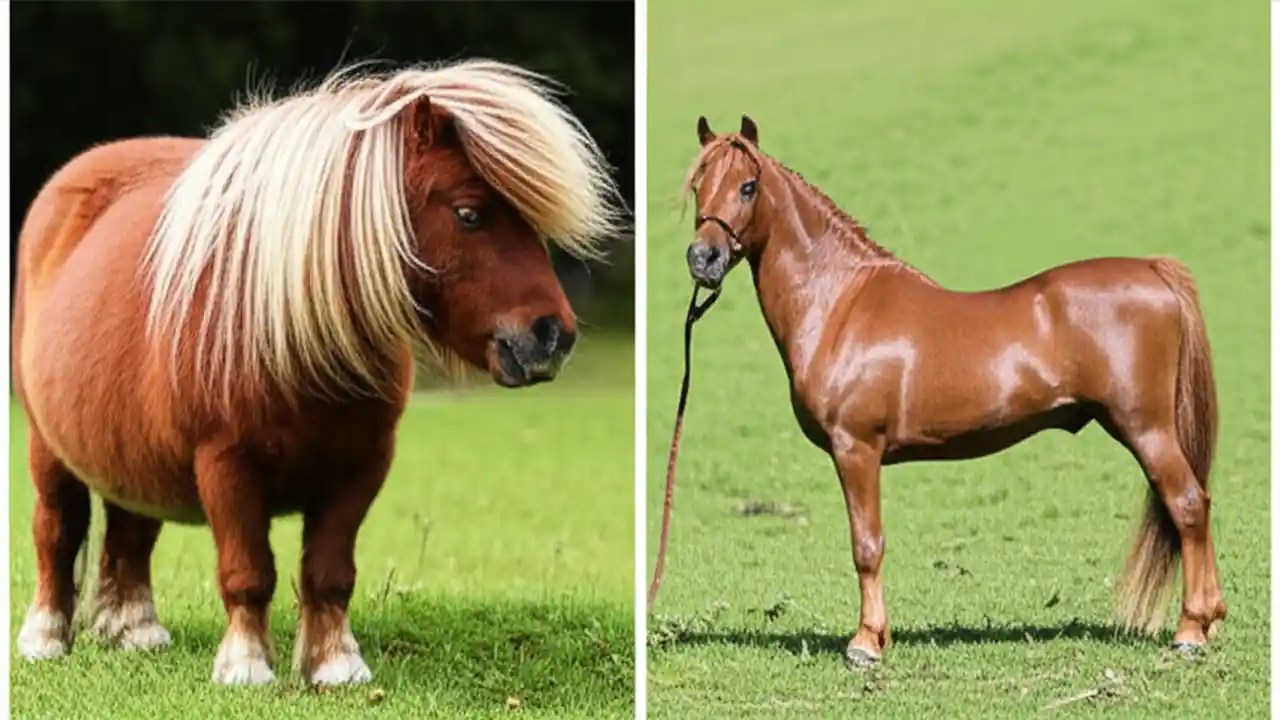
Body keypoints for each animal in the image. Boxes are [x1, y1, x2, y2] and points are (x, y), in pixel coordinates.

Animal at [12, 59, 619, 685]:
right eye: (469, 213)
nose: (552, 336)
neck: (290, 334)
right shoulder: (226, 466)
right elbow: (248, 572)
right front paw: (247, 666)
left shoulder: (362, 466)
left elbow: (329, 572)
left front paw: (336, 666)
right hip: (47, 446)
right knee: (57, 529)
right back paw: (45, 637)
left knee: (131, 532)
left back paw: (134, 630)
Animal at [680, 115, 1225, 666]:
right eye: (699, 184)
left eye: (748, 186)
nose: (703, 258)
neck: (839, 303)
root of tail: (1153, 270)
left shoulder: (856, 449)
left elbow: (867, 545)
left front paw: (865, 643)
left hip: (1146, 428)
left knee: (1188, 505)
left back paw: (1191, 631)